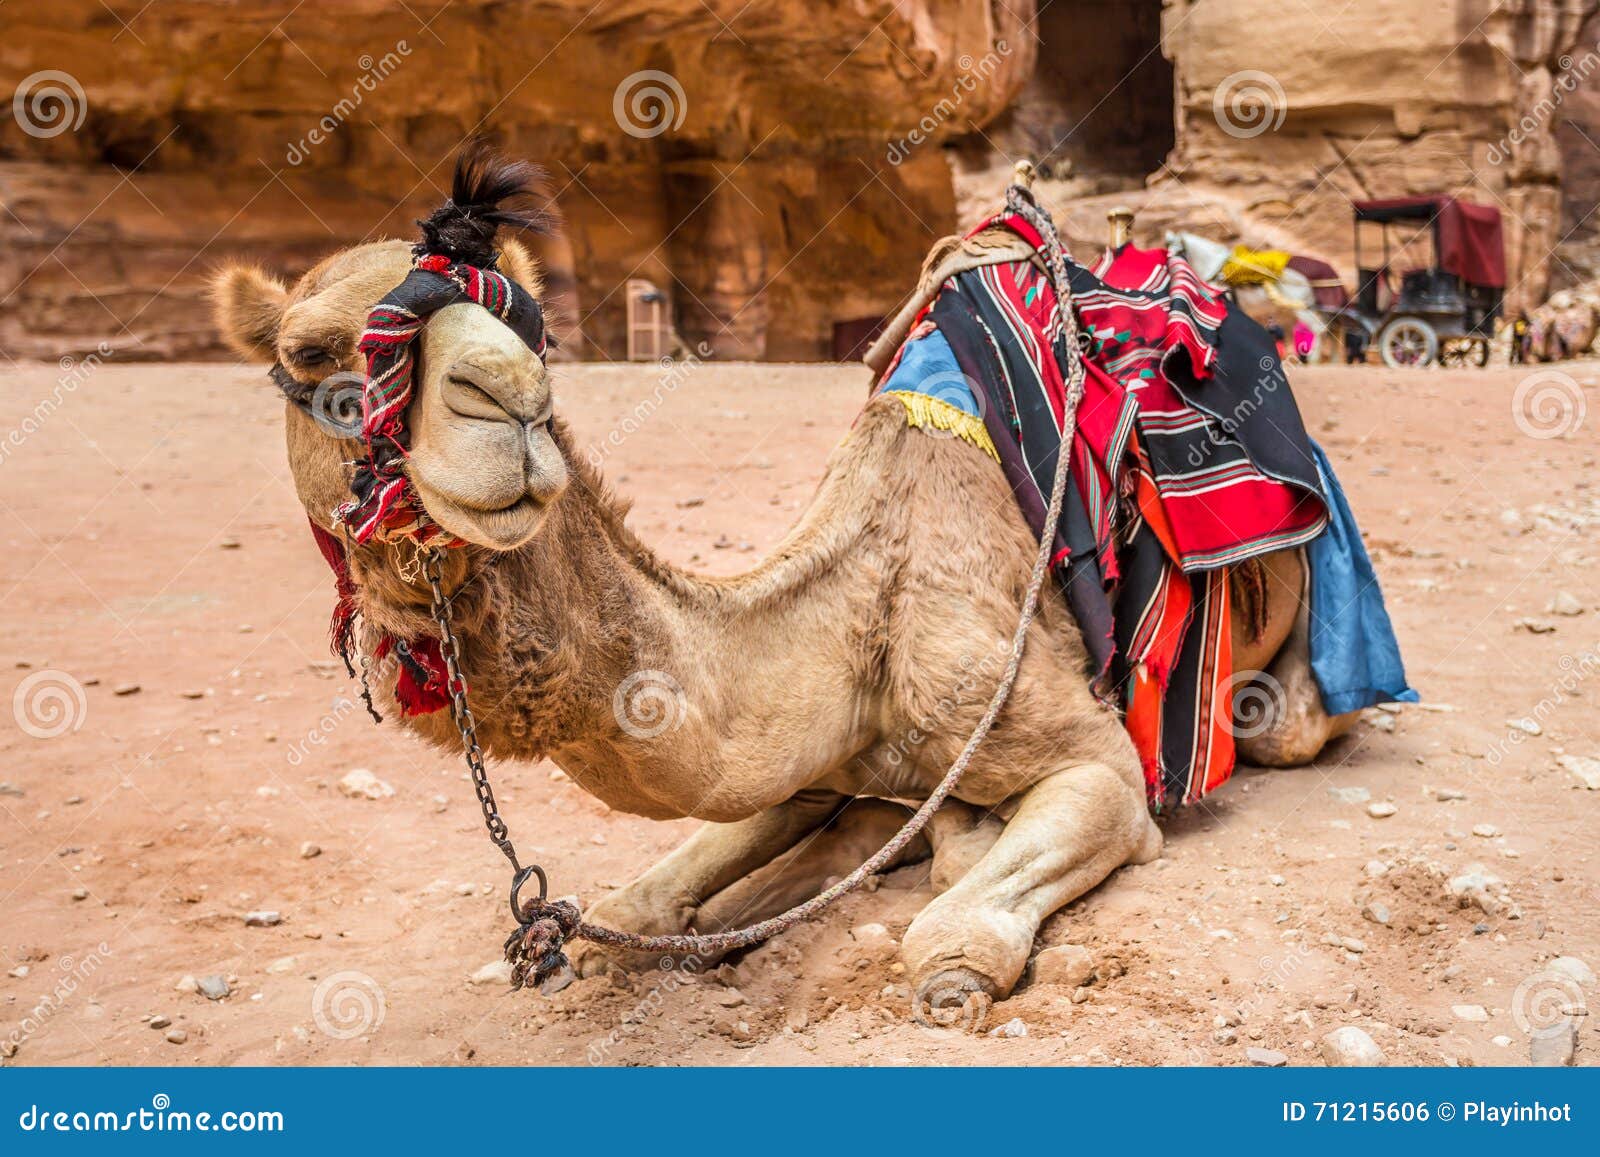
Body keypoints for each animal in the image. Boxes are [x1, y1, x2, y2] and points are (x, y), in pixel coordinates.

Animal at [212, 153, 1356, 1023]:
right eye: (308, 350)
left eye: (532, 328)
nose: (510, 403)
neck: (855, 611)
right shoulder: (799, 754)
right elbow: (647, 897)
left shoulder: (1090, 758)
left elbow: (953, 925)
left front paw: (942, 902)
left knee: (1293, 722)